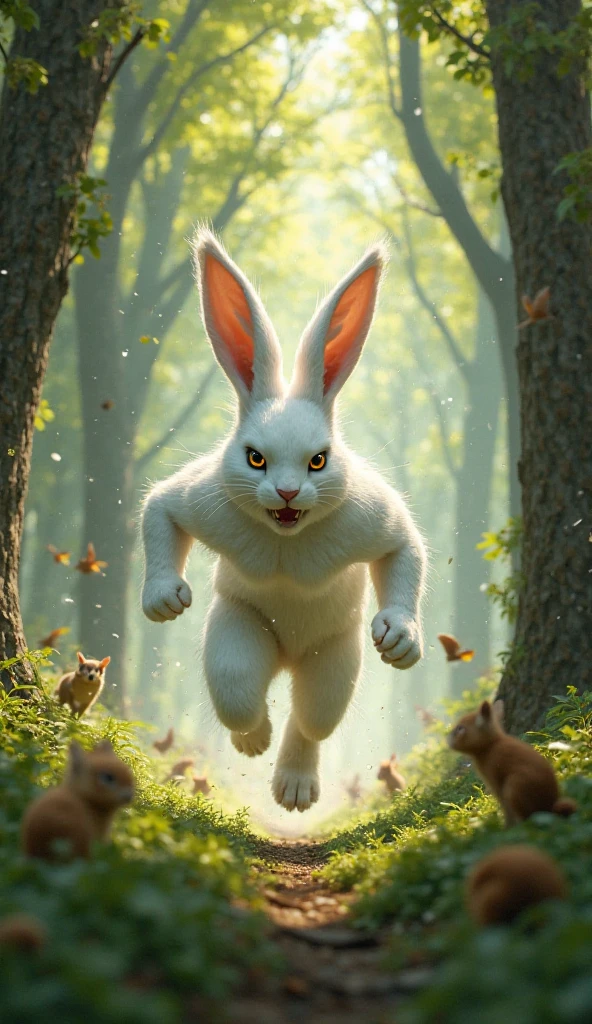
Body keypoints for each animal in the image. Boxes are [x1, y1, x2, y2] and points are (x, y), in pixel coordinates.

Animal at [141, 229, 427, 812]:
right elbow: (159, 509)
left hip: (333, 660)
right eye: (255, 458)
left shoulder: (373, 519)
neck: (286, 540)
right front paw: (165, 601)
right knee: (238, 694)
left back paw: (294, 790)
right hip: (238, 632)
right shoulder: (200, 500)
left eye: (319, 459)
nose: (288, 491)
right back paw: (254, 742)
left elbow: (405, 550)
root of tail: (289, 660)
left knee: (312, 721)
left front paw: (399, 642)